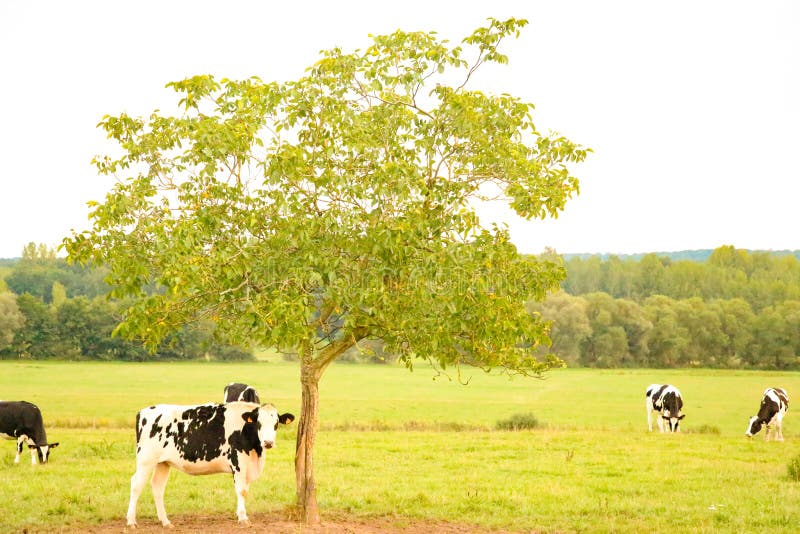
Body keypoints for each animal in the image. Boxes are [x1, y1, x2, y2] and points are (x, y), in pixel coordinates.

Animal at [126, 401, 294, 528]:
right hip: (146, 459)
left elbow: (245, 490)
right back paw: (131, 521)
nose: (268, 443)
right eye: (259, 423)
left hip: (163, 463)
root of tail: (144, 411)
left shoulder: (248, 467)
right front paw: (243, 518)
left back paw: (165, 522)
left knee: (157, 487)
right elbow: (241, 491)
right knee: (136, 484)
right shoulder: (238, 463)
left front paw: (240, 514)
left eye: (276, 424)